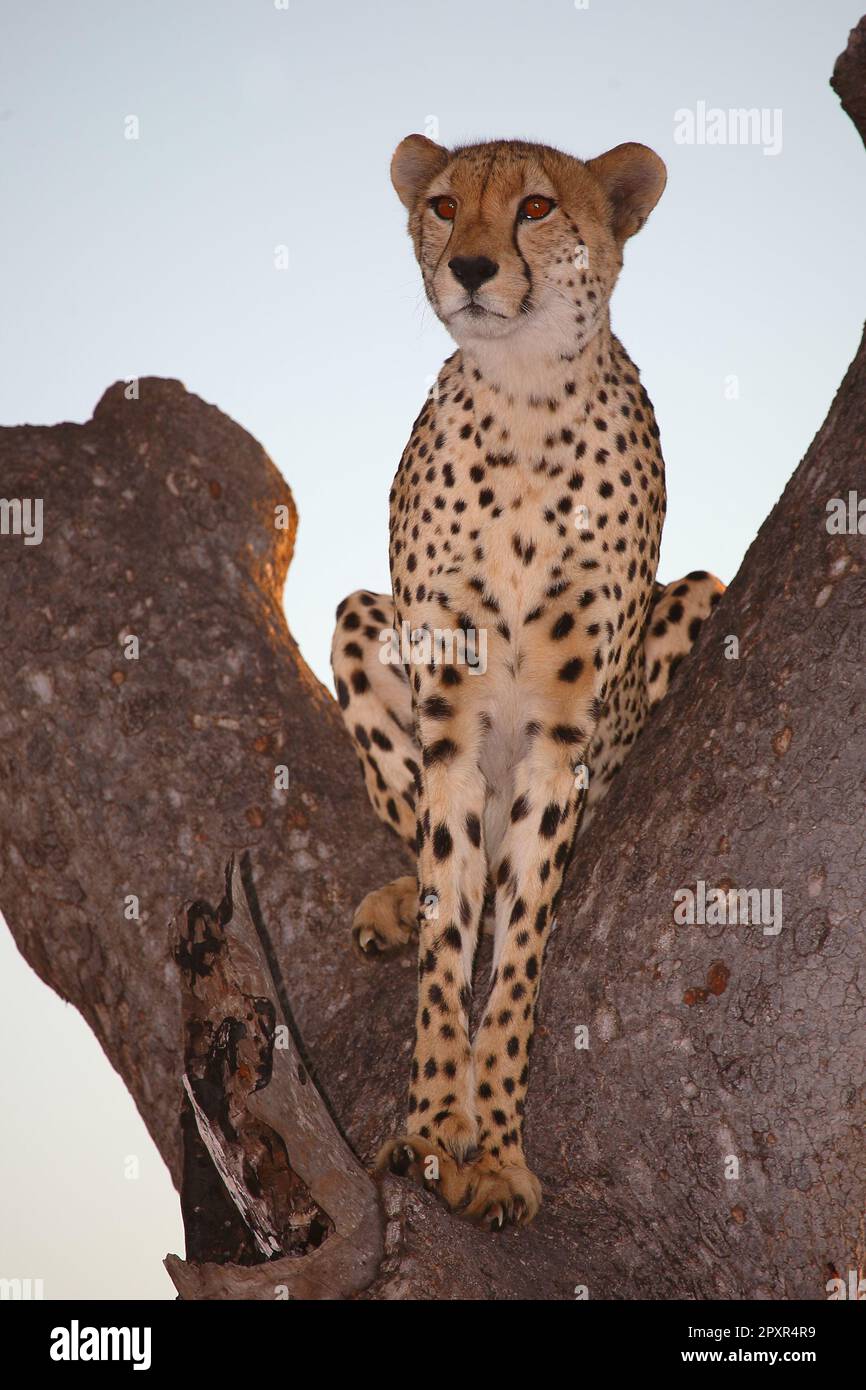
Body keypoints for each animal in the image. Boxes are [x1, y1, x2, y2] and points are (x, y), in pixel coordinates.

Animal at [330, 133, 724, 1230]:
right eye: (442, 204)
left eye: (538, 207)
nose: (468, 267)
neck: (522, 403)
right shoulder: (451, 718)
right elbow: (445, 933)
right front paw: (433, 1128)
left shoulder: (562, 736)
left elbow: (517, 957)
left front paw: (496, 1147)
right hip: (358, 621)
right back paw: (395, 898)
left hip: (697, 597)